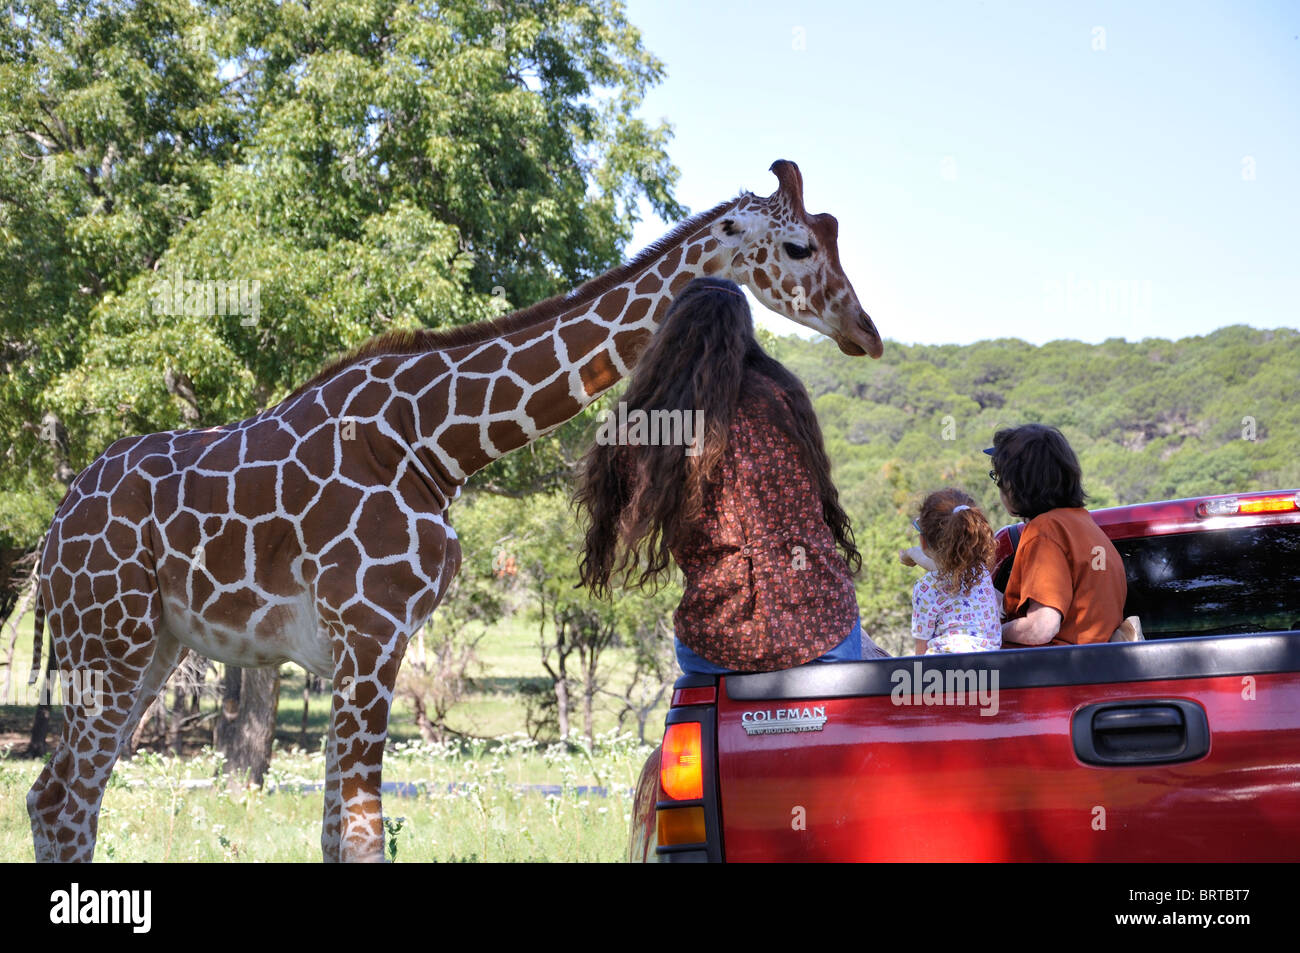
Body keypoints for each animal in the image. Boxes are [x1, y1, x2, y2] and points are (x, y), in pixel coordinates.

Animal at [28, 159, 883, 862]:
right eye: (800, 247)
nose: (866, 332)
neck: (436, 442)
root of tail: (53, 530)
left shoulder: (367, 646)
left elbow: (339, 834)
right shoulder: (368, 635)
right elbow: (363, 838)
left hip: (151, 647)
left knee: (56, 794)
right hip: (109, 643)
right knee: (64, 798)